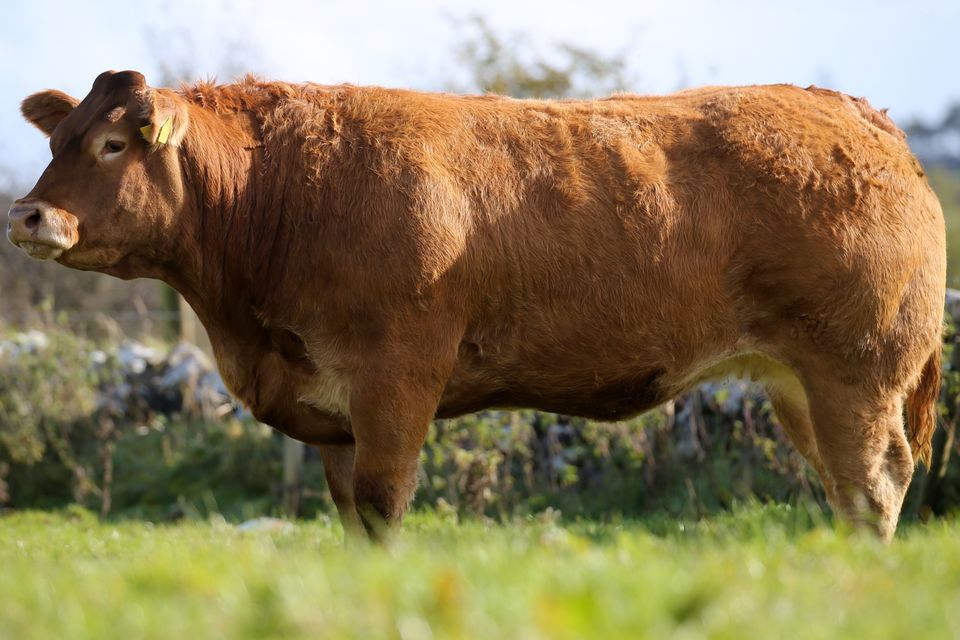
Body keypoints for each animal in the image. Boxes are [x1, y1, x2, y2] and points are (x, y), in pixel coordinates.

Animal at [7, 70, 945, 541]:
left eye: (112, 143)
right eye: (58, 139)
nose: (27, 215)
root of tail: (863, 118)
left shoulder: (395, 379)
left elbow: (383, 505)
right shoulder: (332, 410)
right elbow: (350, 516)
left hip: (856, 371)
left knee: (874, 483)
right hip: (800, 384)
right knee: (845, 487)